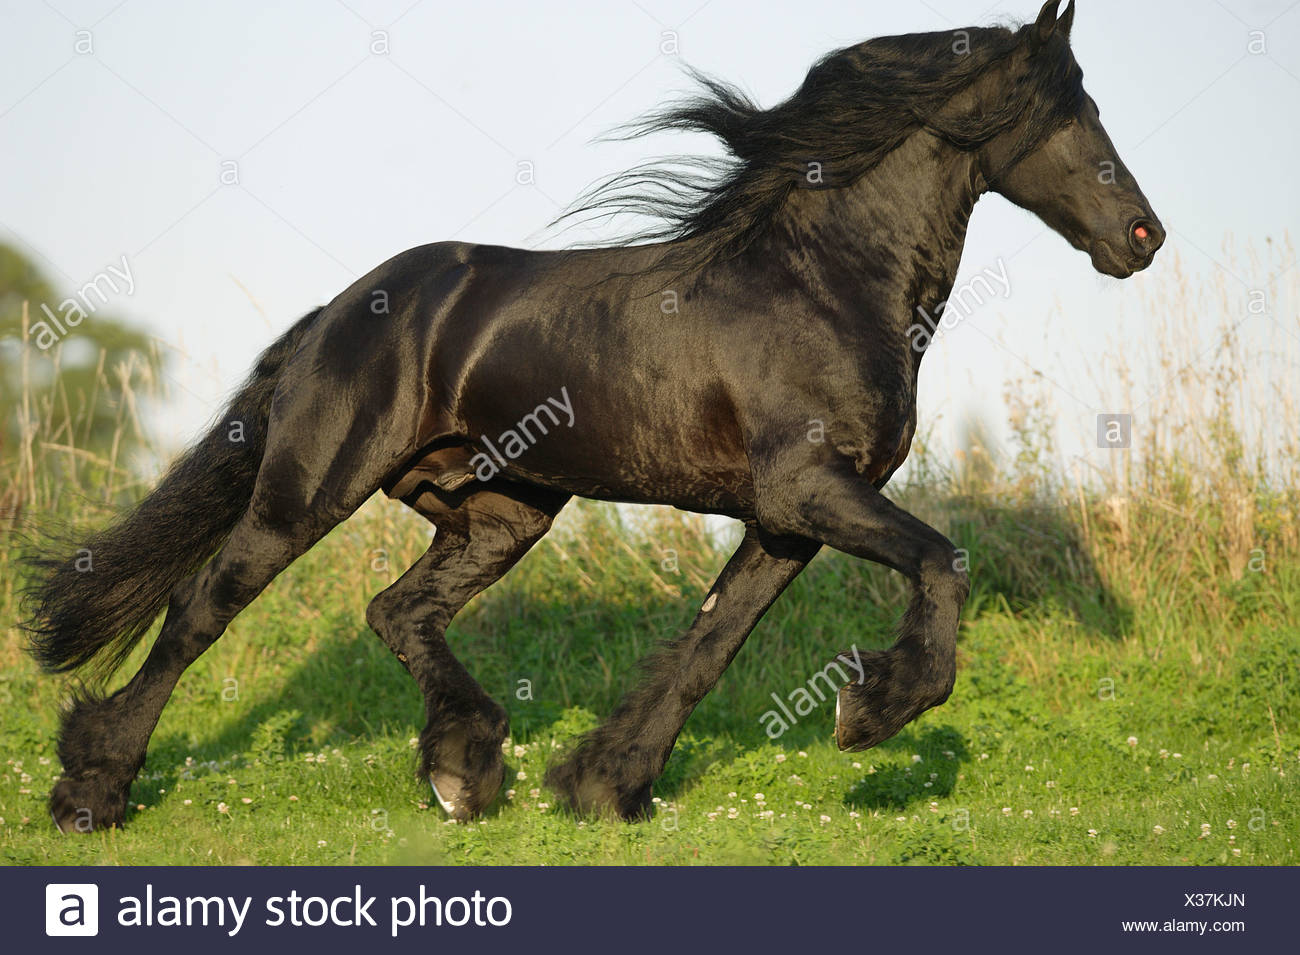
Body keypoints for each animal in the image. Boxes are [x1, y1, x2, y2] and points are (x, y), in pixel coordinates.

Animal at [23, 0, 1162, 830]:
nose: (1143, 236)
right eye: (1071, 114)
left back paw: (464, 772)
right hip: (309, 491)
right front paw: (871, 709)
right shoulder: (810, 489)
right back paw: (91, 790)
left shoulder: (787, 519)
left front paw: (603, 785)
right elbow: (938, 562)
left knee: (399, 611)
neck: (826, 283)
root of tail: (342, 311)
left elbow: (709, 645)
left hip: (505, 510)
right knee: (200, 609)